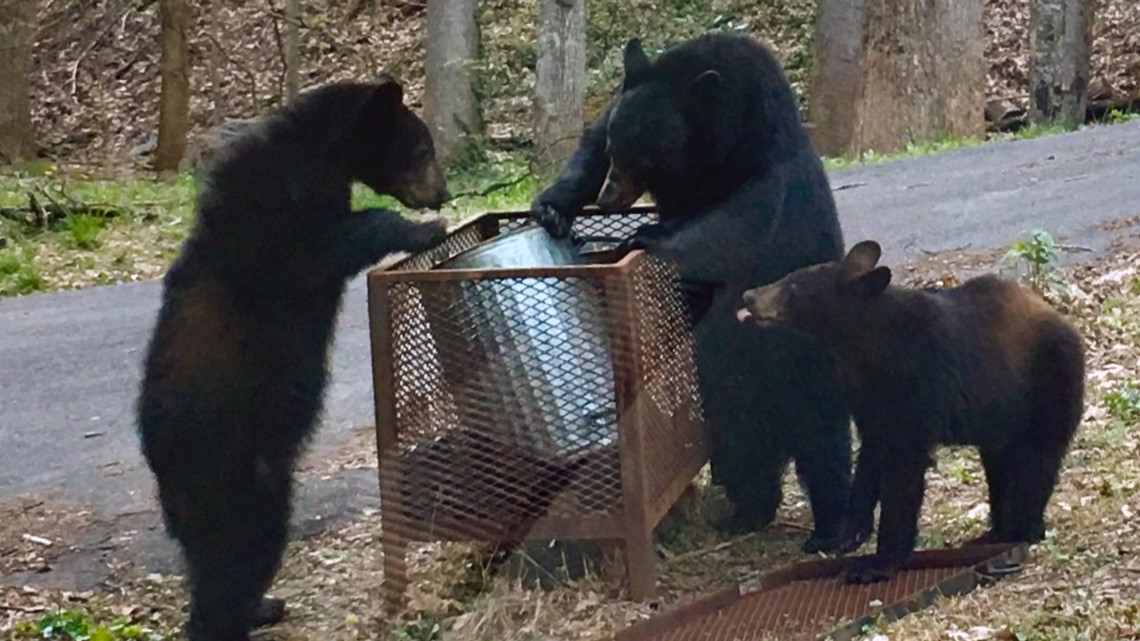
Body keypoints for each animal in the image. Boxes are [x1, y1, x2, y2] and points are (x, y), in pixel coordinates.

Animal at [135, 76, 450, 641]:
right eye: (422, 148)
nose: (444, 192)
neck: (317, 152)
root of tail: (158, 455)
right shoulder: (280, 222)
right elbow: (328, 245)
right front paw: (423, 227)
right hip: (235, 468)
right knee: (237, 551)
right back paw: (230, 618)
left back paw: (260, 606)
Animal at [530, 32, 853, 553]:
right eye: (615, 147)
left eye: (642, 157)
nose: (607, 198)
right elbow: (585, 147)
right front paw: (554, 208)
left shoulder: (764, 165)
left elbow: (736, 224)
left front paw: (642, 236)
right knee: (746, 451)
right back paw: (748, 512)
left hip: (804, 363)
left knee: (823, 443)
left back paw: (831, 529)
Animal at [736, 240, 1086, 584]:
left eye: (793, 288)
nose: (749, 296)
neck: (865, 348)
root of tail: (1069, 328)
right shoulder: (869, 401)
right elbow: (870, 458)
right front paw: (852, 533)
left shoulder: (915, 389)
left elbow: (903, 473)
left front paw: (877, 564)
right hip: (1002, 422)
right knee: (1000, 466)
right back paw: (994, 532)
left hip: (1048, 390)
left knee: (1034, 464)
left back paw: (1019, 531)